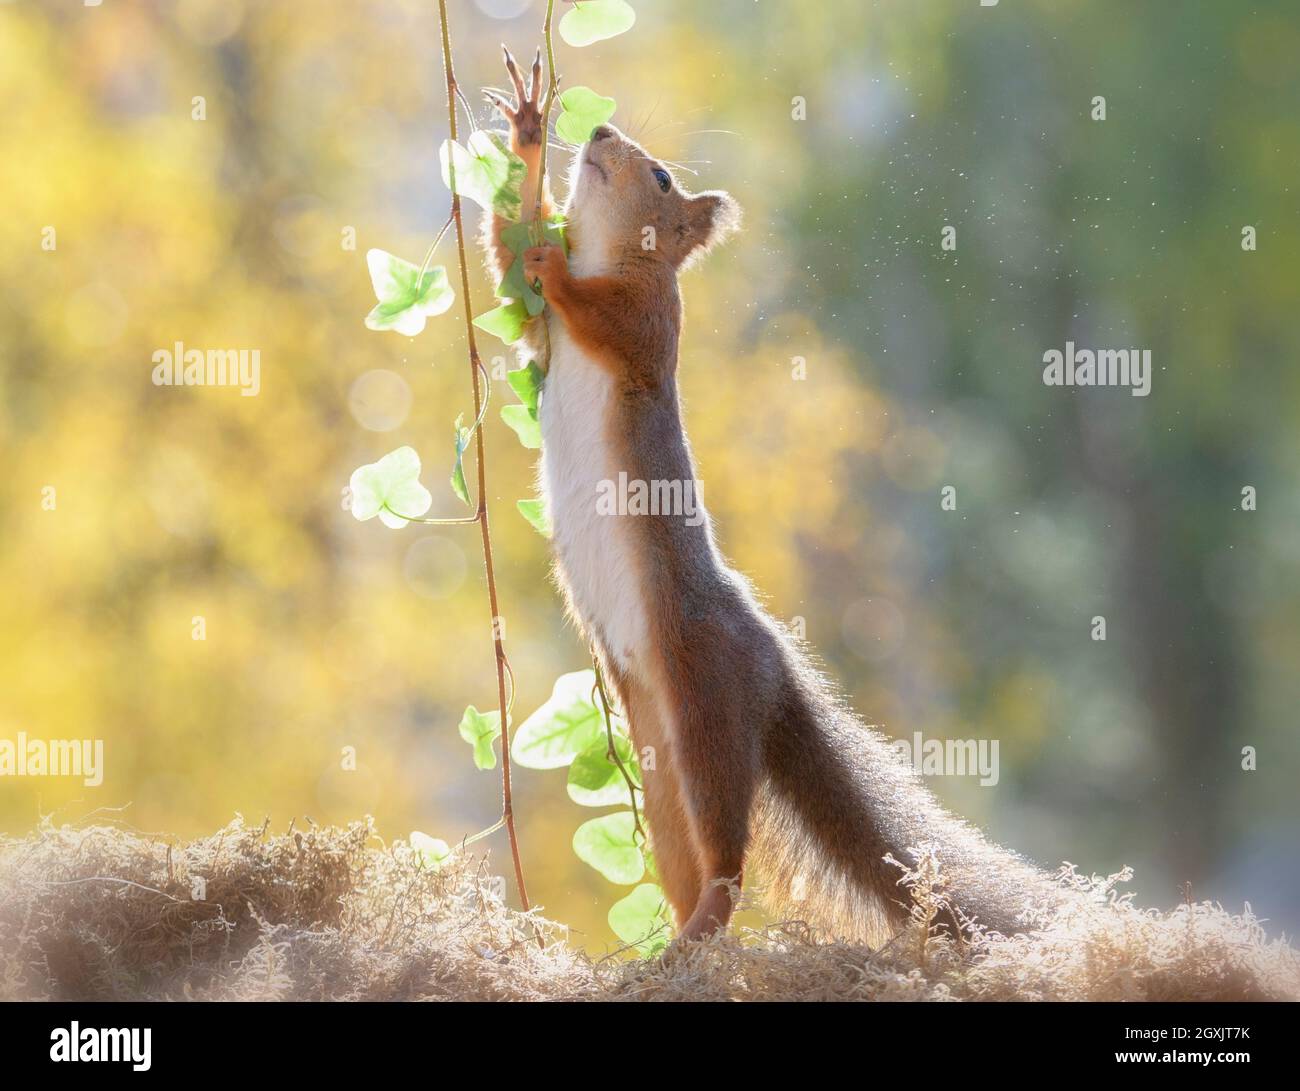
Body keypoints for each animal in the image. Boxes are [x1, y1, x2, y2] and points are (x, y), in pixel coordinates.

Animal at [484, 48, 1072, 945]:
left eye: (661, 176)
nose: (602, 131)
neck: (605, 256)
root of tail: (773, 661)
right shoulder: (537, 335)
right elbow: (511, 272)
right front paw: (525, 135)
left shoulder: (650, 326)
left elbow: (600, 317)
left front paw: (552, 258)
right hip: (656, 750)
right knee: (688, 856)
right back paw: (673, 946)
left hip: (708, 706)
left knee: (729, 854)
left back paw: (701, 925)